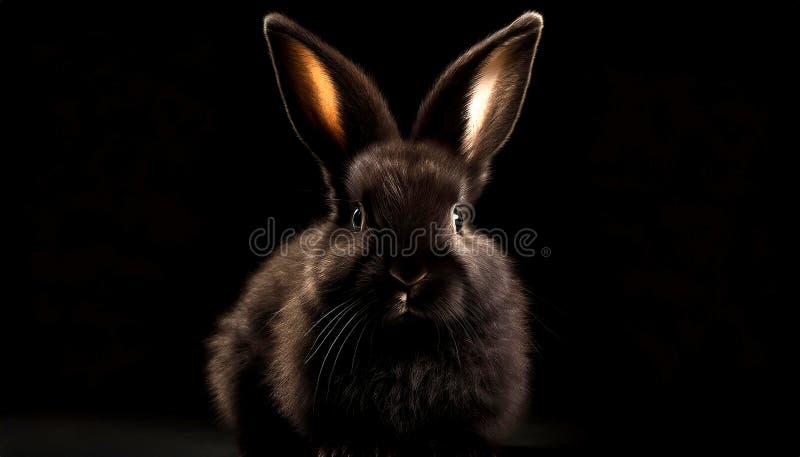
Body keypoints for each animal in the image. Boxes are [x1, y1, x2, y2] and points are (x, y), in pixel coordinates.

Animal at [207, 11, 543, 457]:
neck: (407, 341)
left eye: (458, 218)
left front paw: (463, 445)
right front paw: (345, 447)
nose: (408, 274)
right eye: (358, 217)